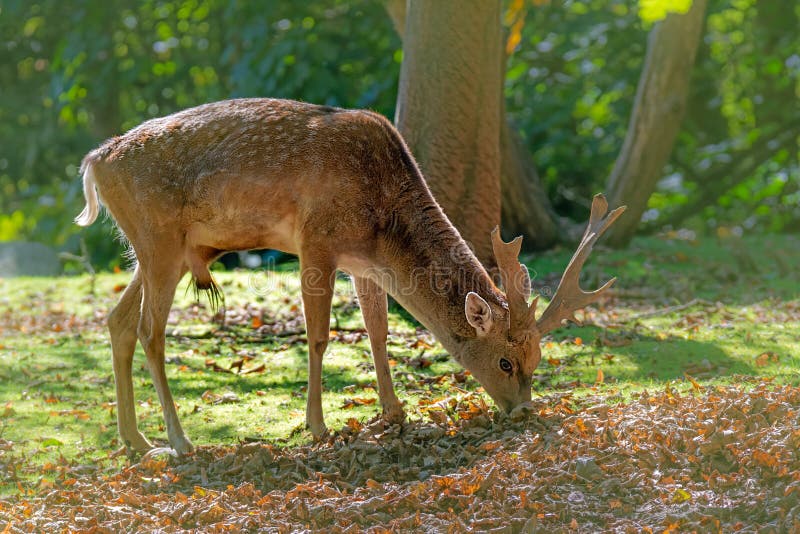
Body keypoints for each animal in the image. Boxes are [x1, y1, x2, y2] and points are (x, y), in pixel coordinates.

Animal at [75, 98, 624, 455]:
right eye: (507, 362)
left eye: (538, 358)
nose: (525, 410)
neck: (380, 217)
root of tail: (93, 162)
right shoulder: (315, 240)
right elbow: (320, 335)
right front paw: (318, 426)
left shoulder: (365, 264)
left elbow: (378, 332)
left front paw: (394, 412)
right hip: (158, 240)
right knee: (149, 330)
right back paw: (178, 440)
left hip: (158, 250)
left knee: (117, 321)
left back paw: (135, 438)